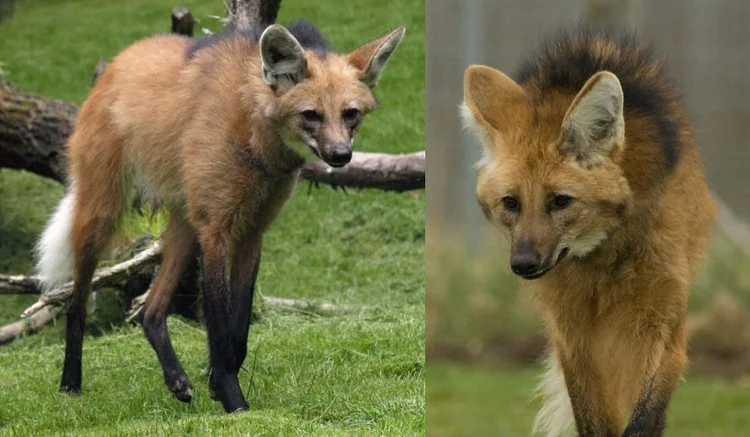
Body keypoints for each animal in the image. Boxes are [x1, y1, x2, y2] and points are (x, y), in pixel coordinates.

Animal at [34, 19, 405, 413]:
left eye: (351, 114)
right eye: (311, 115)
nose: (341, 156)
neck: (254, 133)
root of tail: (118, 61)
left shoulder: (252, 231)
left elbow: (238, 331)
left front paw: (216, 385)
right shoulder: (216, 231)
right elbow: (221, 328)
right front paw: (234, 401)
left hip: (184, 225)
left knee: (151, 310)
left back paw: (177, 380)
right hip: (104, 212)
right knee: (76, 302)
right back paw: (70, 383)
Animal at [460, 29, 715, 436]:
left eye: (561, 201)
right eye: (511, 203)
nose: (523, 264)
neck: (603, 256)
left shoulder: (663, 326)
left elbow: (643, 418)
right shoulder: (574, 338)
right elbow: (593, 421)